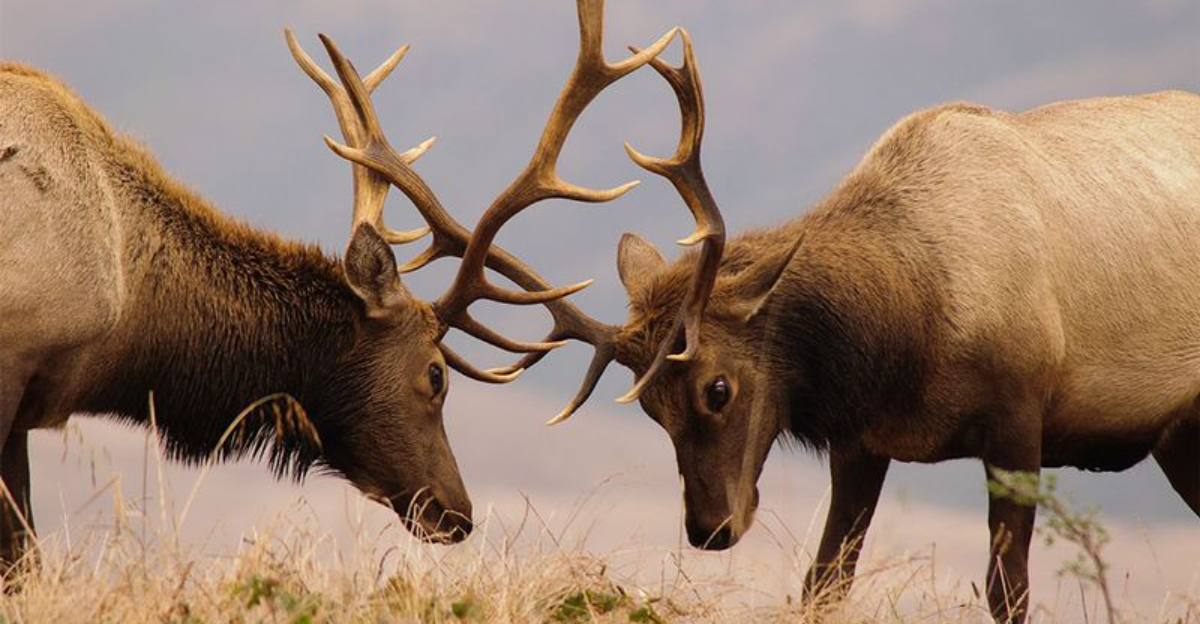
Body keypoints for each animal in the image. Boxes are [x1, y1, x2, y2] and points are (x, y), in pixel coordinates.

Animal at [399, 16, 1200, 624]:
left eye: (718, 387)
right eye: (652, 408)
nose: (710, 528)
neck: (911, 334)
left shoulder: (1019, 412)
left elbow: (1009, 593)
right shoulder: (863, 441)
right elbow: (824, 583)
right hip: (1179, 439)